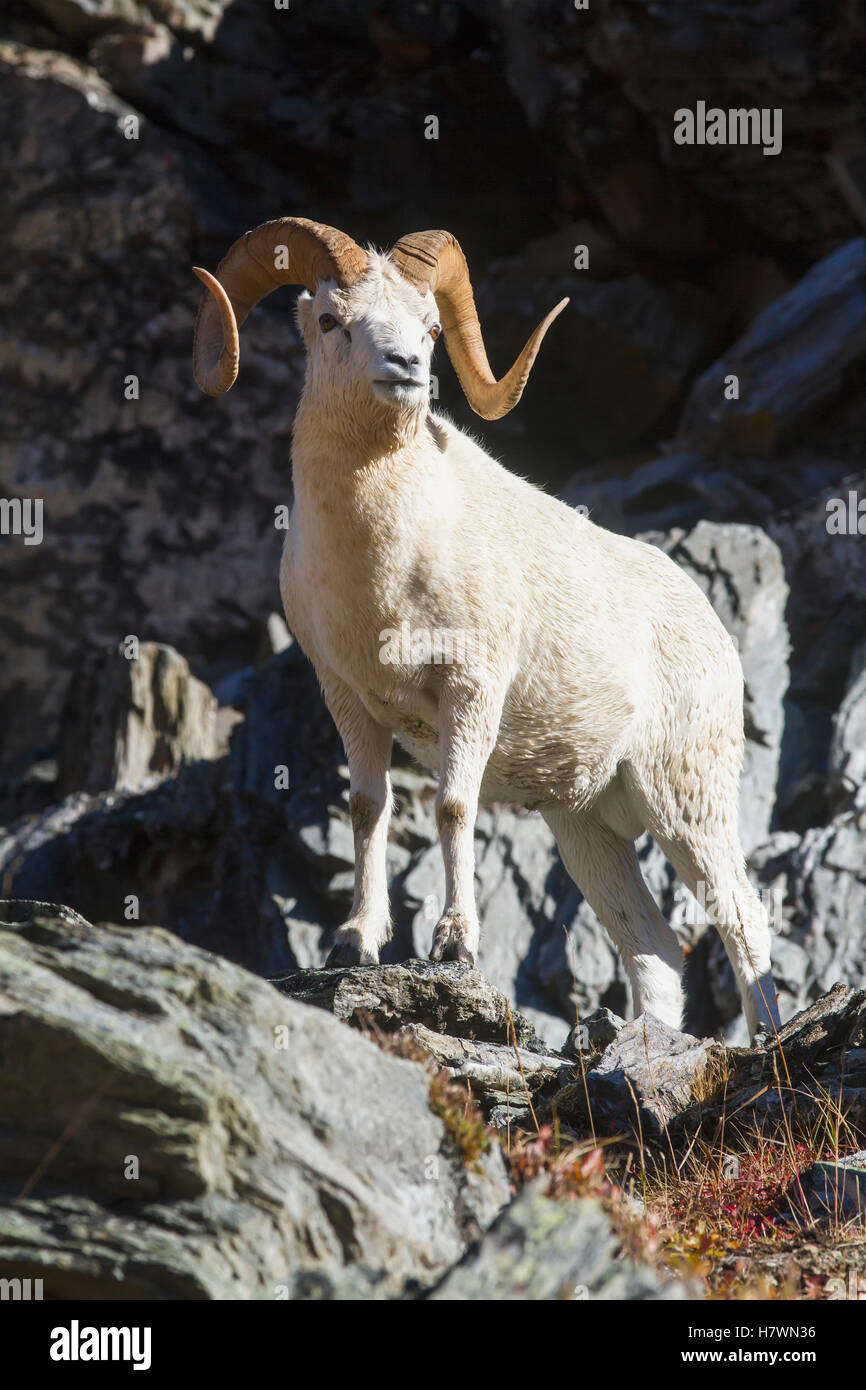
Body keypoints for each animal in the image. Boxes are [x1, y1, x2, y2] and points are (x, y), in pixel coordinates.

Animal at [192, 217, 781, 1040]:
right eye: (333, 321)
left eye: (431, 327)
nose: (406, 367)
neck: (383, 571)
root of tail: (712, 634)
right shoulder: (349, 701)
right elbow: (368, 809)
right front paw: (354, 941)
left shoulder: (469, 692)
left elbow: (452, 806)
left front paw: (453, 946)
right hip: (587, 828)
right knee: (657, 952)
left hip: (684, 800)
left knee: (741, 917)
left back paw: (771, 1042)